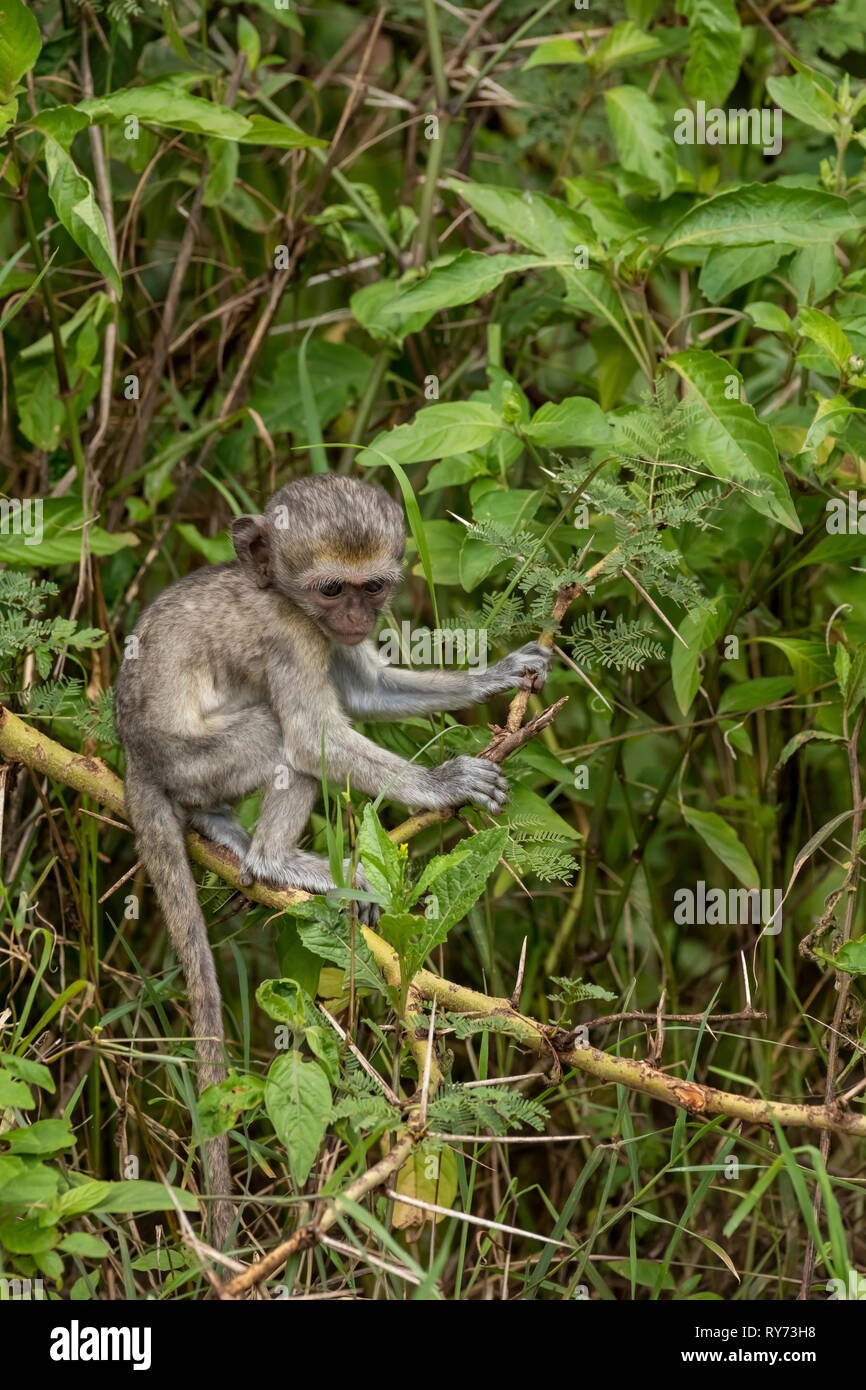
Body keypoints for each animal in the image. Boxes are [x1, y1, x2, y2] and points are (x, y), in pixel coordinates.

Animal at [114, 474, 551, 1245]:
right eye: (329, 589)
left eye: (371, 587)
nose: (351, 617)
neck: (282, 595)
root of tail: (135, 753)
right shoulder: (292, 636)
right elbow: (313, 733)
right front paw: (441, 783)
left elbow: (365, 691)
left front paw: (499, 673)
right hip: (191, 757)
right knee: (274, 736)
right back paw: (274, 860)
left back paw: (221, 833)